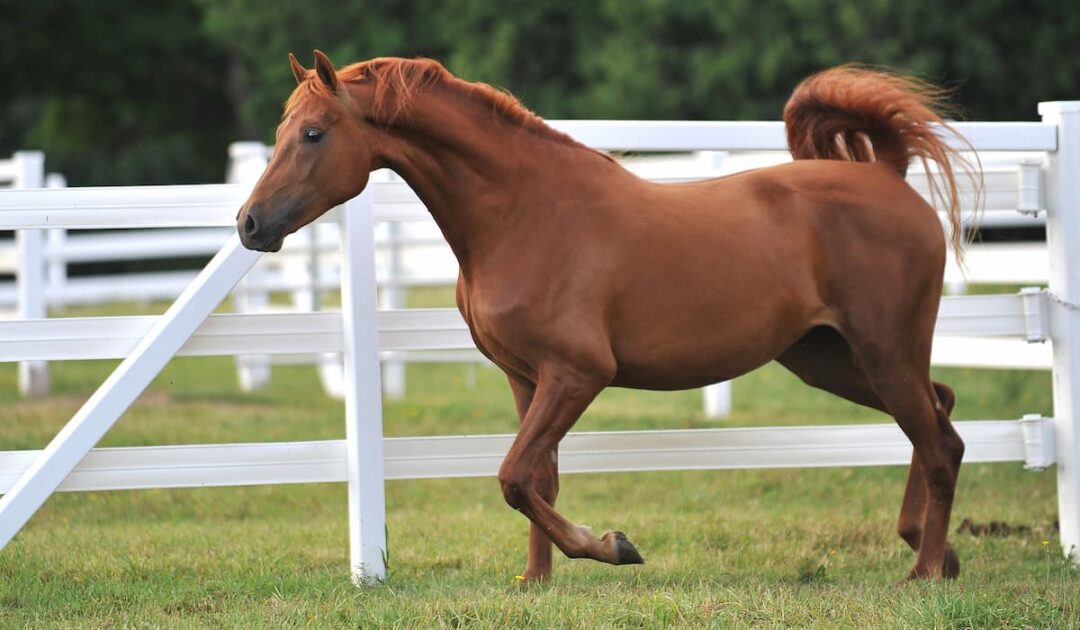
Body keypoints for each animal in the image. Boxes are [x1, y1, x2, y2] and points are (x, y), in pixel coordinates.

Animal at [237, 50, 977, 583]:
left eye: (313, 133)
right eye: (279, 132)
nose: (249, 225)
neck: (525, 215)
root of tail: (888, 176)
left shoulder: (577, 373)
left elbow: (513, 476)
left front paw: (615, 547)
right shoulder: (526, 378)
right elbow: (537, 477)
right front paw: (534, 582)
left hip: (881, 351)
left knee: (941, 442)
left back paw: (922, 572)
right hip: (830, 358)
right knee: (939, 411)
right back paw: (931, 549)